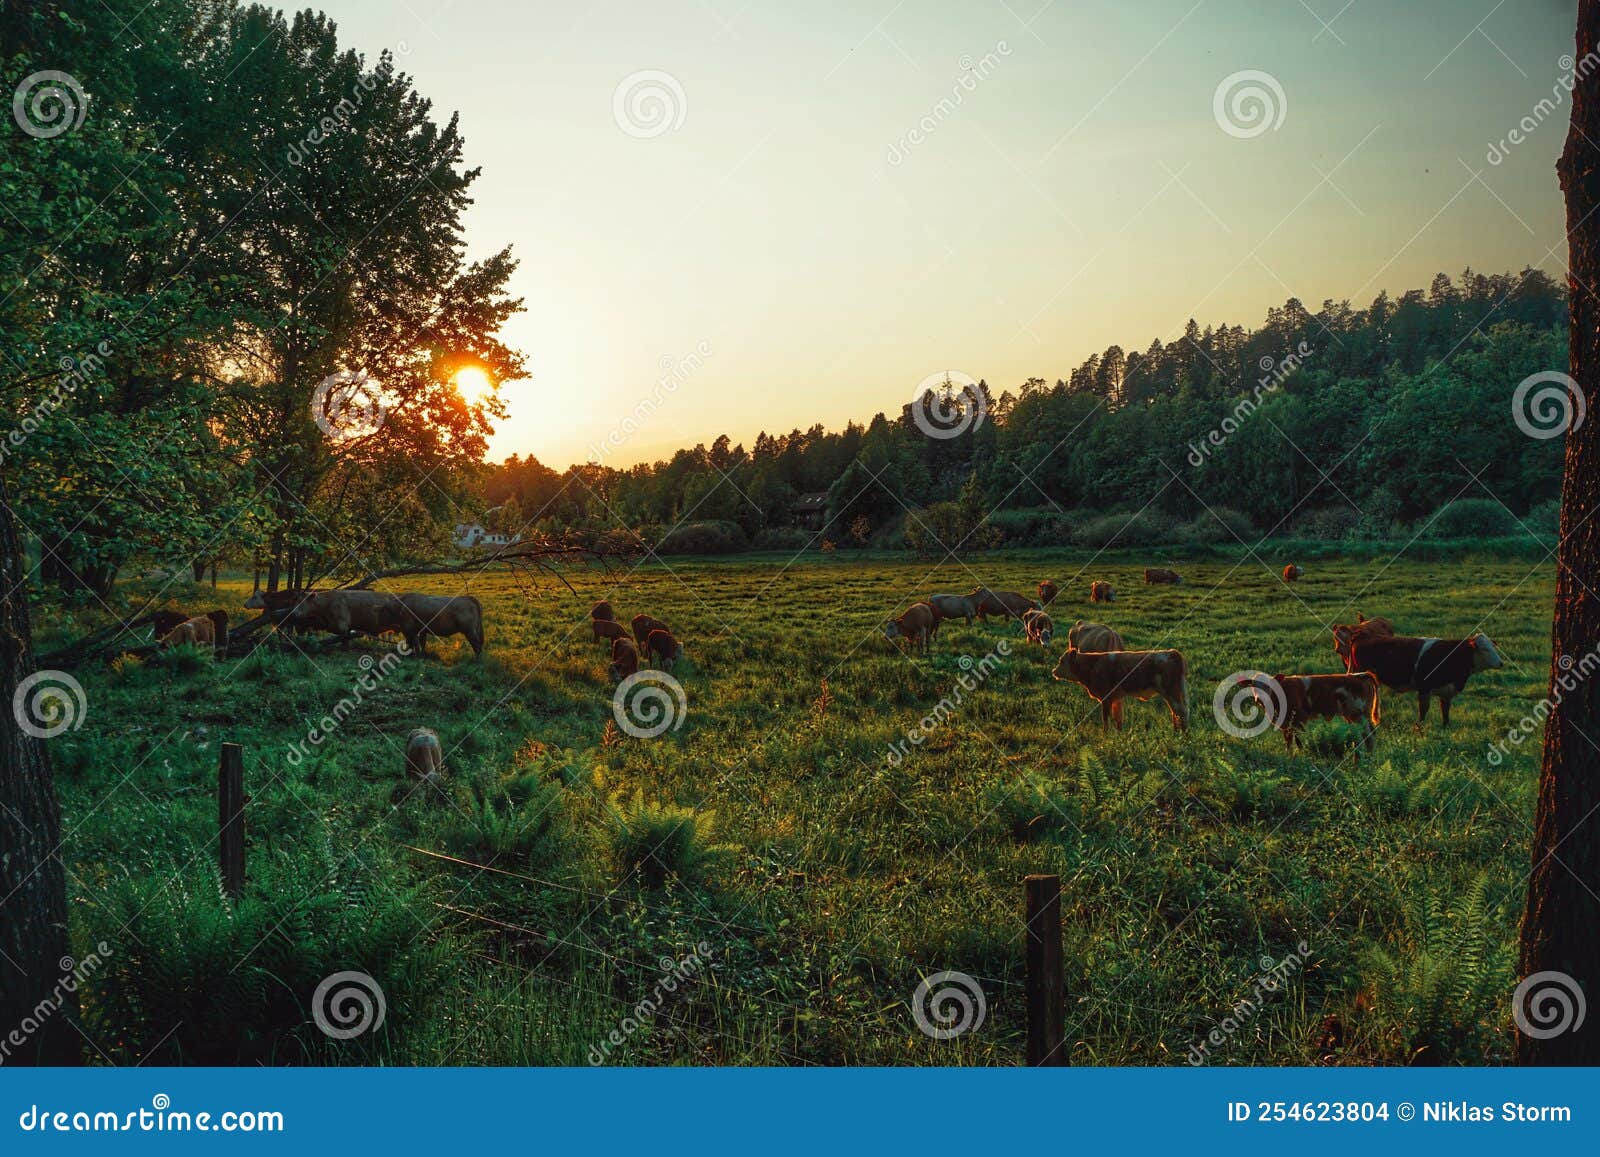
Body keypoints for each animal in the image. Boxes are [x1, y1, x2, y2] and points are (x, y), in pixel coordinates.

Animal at [1052, 646, 1190, 731]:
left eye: (1061, 661)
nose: (1053, 671)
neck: (1093, 665)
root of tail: (1171, 652)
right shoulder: (1116, 698)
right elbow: (1117, 717)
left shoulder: (1106, 698)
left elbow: (1106, 718)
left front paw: (1105, 735)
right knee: (1176, 712)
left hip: (1172, 692)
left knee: (1181, 712)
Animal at [1239, 672, 1381, 755]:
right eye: (1253, 686)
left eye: (1269, 686)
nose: (1259, 699)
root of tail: (1358, 675)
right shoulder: (1285, 723)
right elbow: (1288, 739)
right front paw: (1288, 754)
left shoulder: (1299, 719)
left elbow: (1298, 739)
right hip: (1353, 716)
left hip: (1360, 715)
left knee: (1370, 735)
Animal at [1347, 633, 1503, 726]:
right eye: (1485, 649)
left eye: (1494, 647)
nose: (1501, 663)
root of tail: (1360, 636)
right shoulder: (1424, 688)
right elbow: (1424, 709)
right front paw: (1420, 727)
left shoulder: (1447, 691)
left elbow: (1445, 710)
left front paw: (1446, 726)